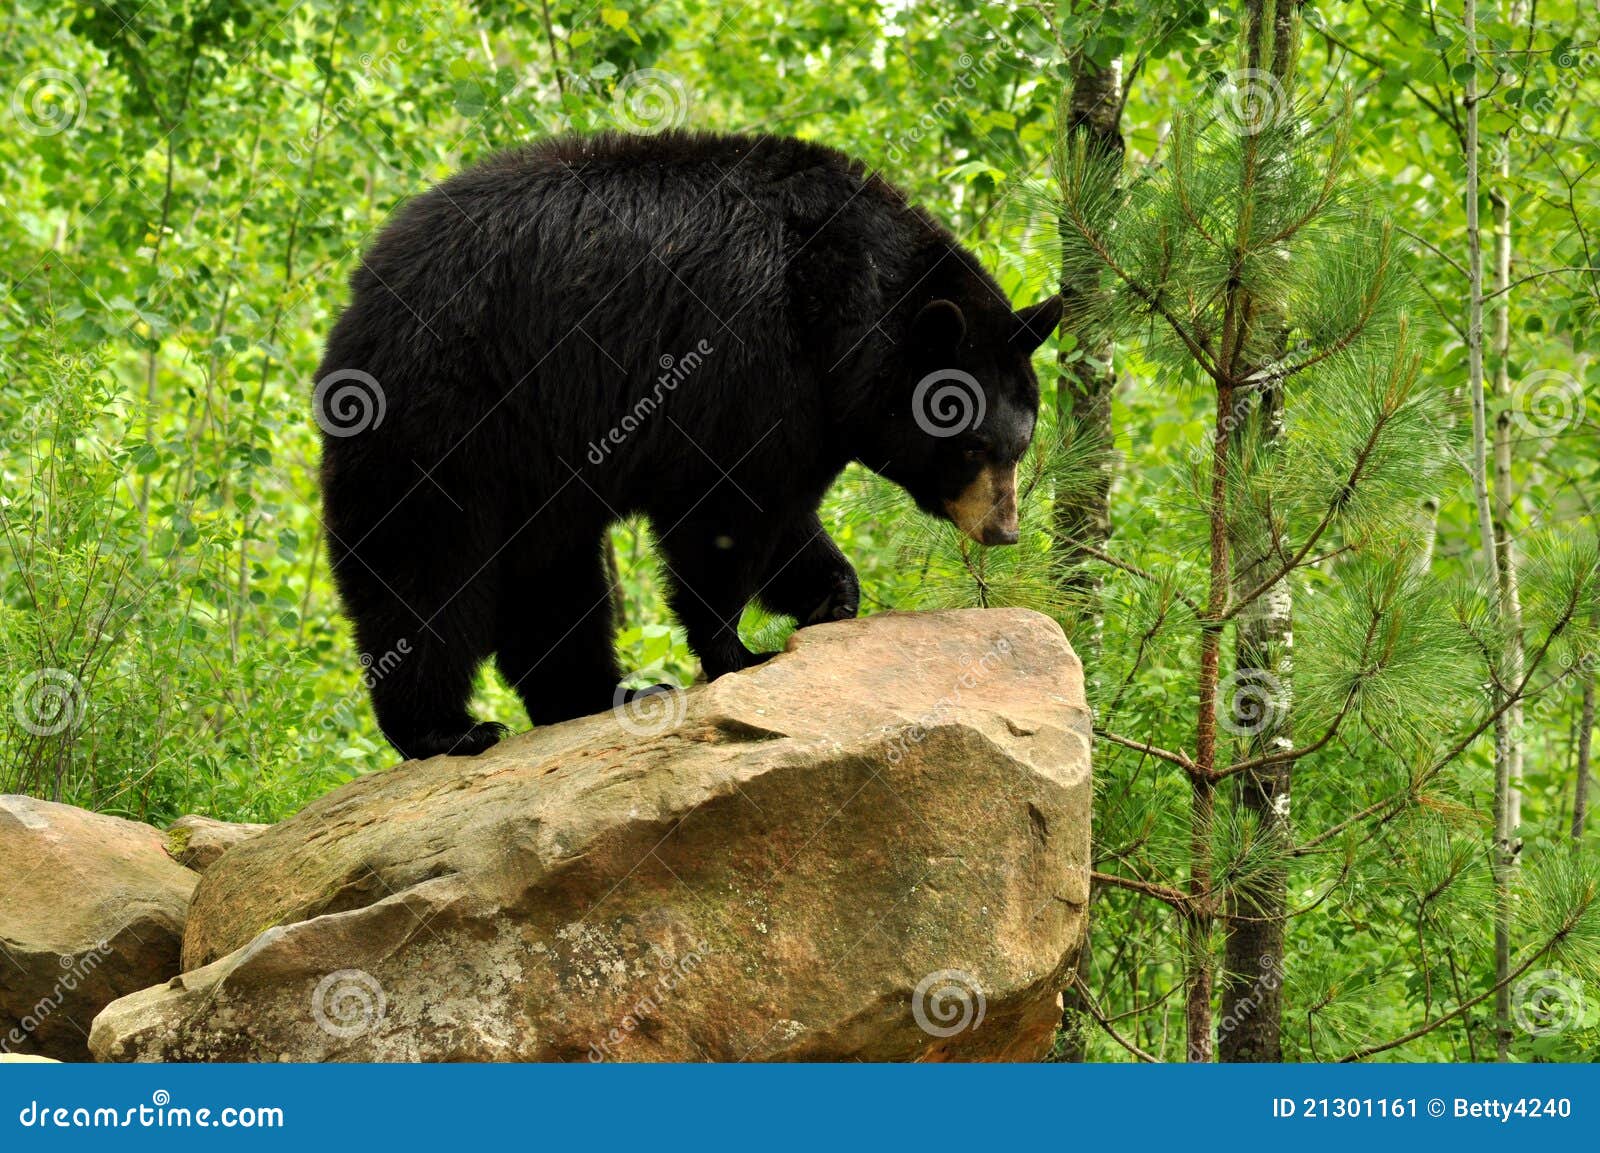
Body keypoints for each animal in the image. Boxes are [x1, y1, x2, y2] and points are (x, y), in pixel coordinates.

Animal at [315, 131, 1060, 761]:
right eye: (972, 446)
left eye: (1020, 445)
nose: (1004, 530)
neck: (839, 300)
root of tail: (362, 288)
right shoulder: (746, 357)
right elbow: (723, 512)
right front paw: (737, 651)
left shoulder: (806, 405)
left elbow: (782, 508)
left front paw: (831, 594)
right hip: (451, 410)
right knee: (427, 563)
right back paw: (446, 728)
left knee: (551, 573)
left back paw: (600, 694)